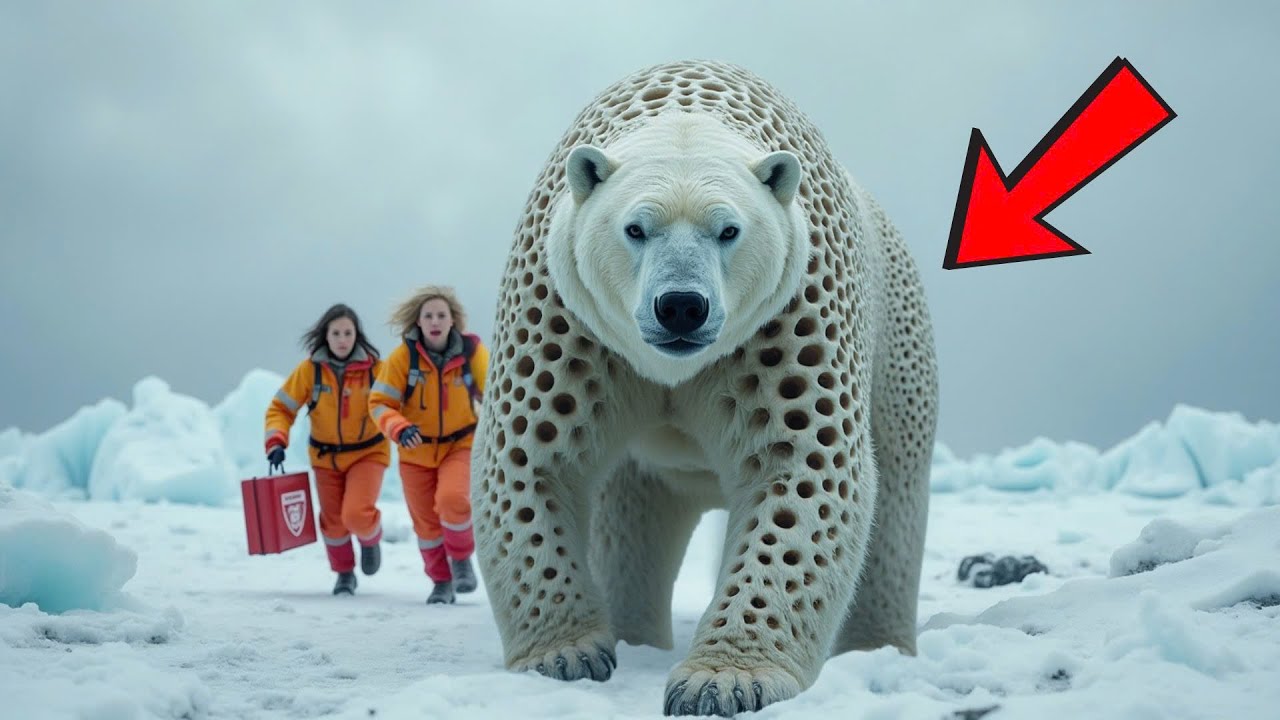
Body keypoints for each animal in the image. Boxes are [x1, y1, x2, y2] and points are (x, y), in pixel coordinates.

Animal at [470, 60, 939, 717]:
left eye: (729, 230)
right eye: (635, 227)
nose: (681, 307)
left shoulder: (789, 312)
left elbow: (805, 466)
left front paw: (723, 683)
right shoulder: (567, 314)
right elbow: (531, 453)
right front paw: (568, 656)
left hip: (900, 347)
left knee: (897, 491)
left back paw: (878, 648)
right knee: (634, 517)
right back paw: (634, 634)